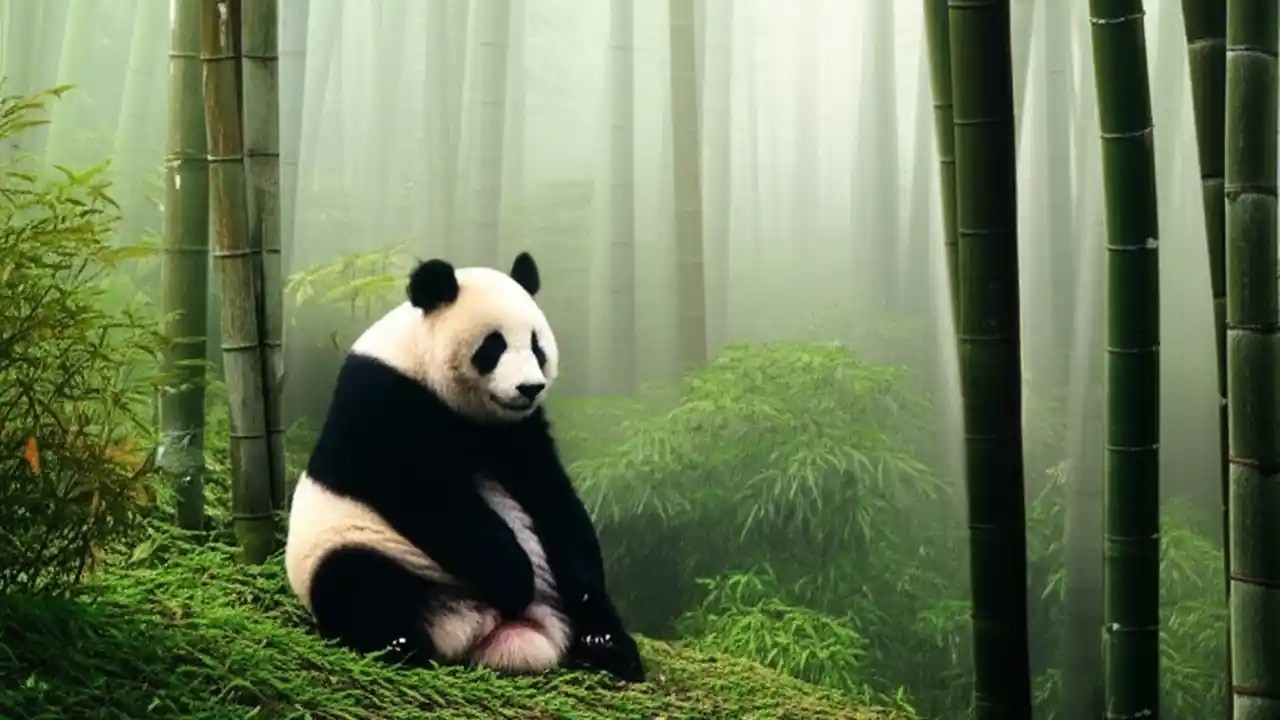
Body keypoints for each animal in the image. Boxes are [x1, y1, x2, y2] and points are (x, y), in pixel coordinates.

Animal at [284, 251, 644, 683]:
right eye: (494, 346)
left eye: (537, 346)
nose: (530, 388)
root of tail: (477, 628)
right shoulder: (379, 399)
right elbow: (429, 498)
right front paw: (514, 577)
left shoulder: (520, 432)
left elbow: (554, 500)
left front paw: (598, 625)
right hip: (354, 546)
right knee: (356, 584)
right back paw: (398, 644)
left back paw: (608, 647)